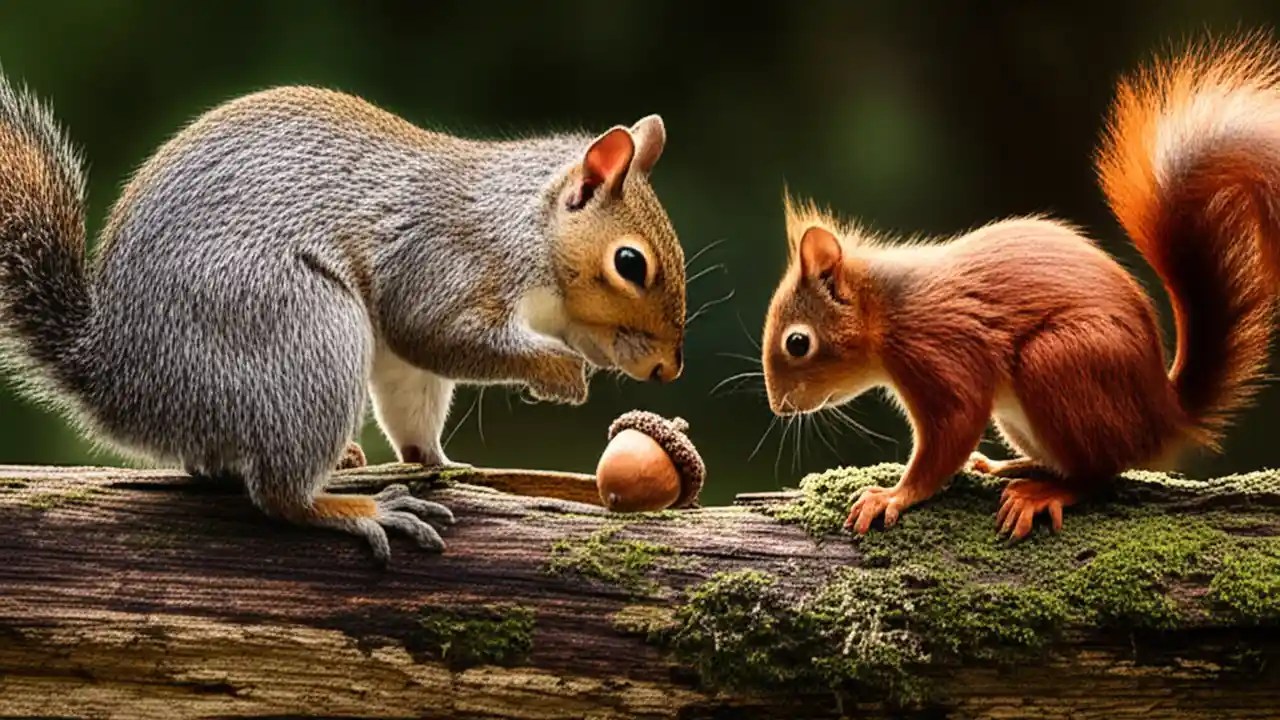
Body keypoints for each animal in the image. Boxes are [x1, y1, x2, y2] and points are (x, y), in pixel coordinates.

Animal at [0, 78, 687, 566]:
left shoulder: (408, 365)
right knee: (281, 497)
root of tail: (119, 379)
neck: (526, 225)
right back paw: (361, 508)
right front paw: (560, 373)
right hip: (307, 333)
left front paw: (441, 461)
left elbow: (413, 406)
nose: (667, 369)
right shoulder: (440, 262)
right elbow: (436, 334)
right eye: (629, 262)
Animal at [762, 36, 1280, 540]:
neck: (889, 308)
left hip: (1056, 361)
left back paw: (1043, 493)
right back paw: (1012, 466)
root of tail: (1162, 413)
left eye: (798, 343)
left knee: (1100, 474)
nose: (779, 407)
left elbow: (952, 428)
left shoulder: (939, 349)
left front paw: (894, 496)